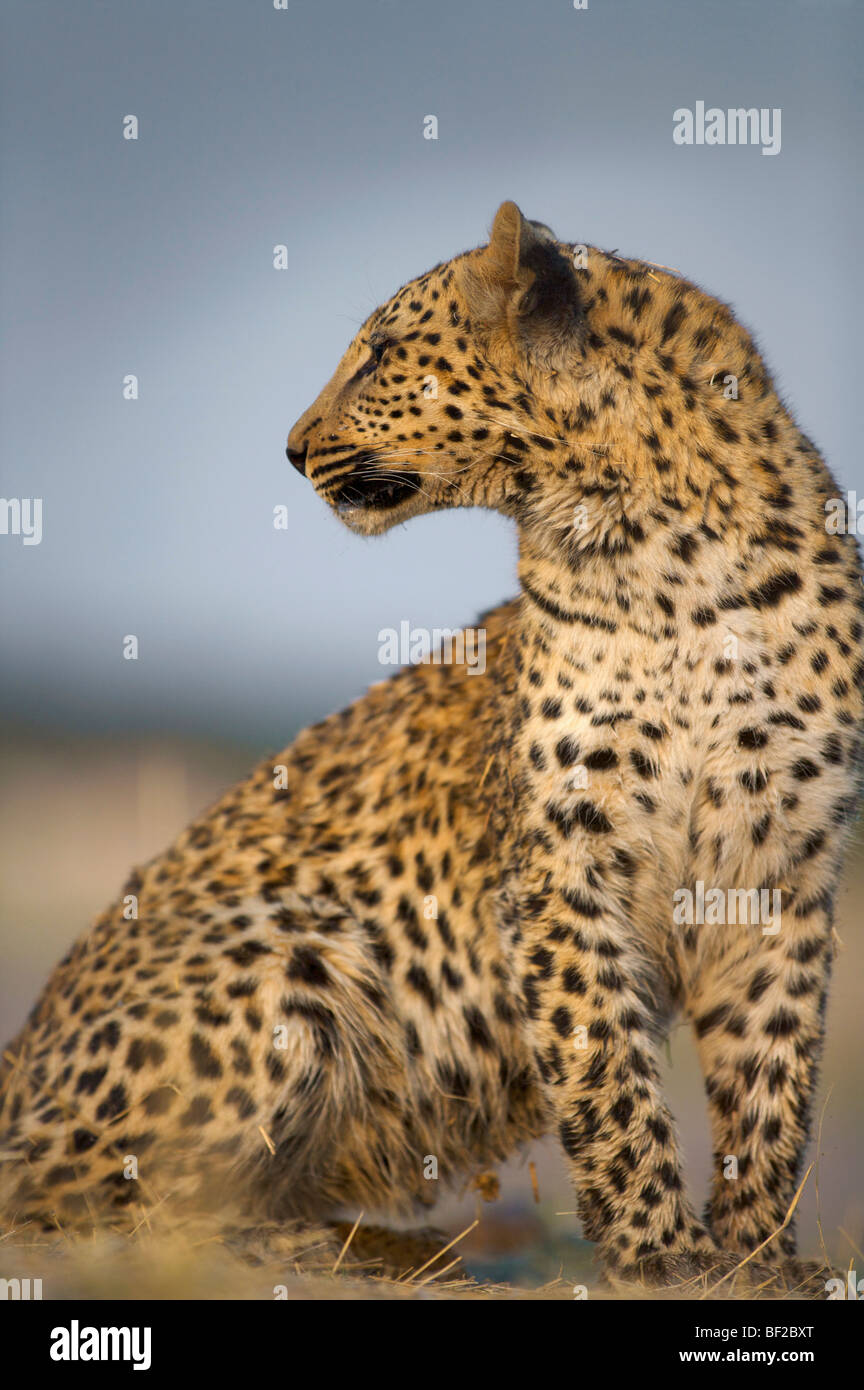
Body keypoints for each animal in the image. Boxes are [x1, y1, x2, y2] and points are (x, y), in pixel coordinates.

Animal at [2, 201, 862, 1295]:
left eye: (379, 354)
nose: (290, 449)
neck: (669, 564)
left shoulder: (782, 863)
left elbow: (771, 1075)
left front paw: (754, 1258)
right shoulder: (562, 863)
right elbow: (607, 1066)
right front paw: (658, 1252)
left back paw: (399, 1246)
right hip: (283, 945)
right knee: (103, 1205)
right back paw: (325, 1248)